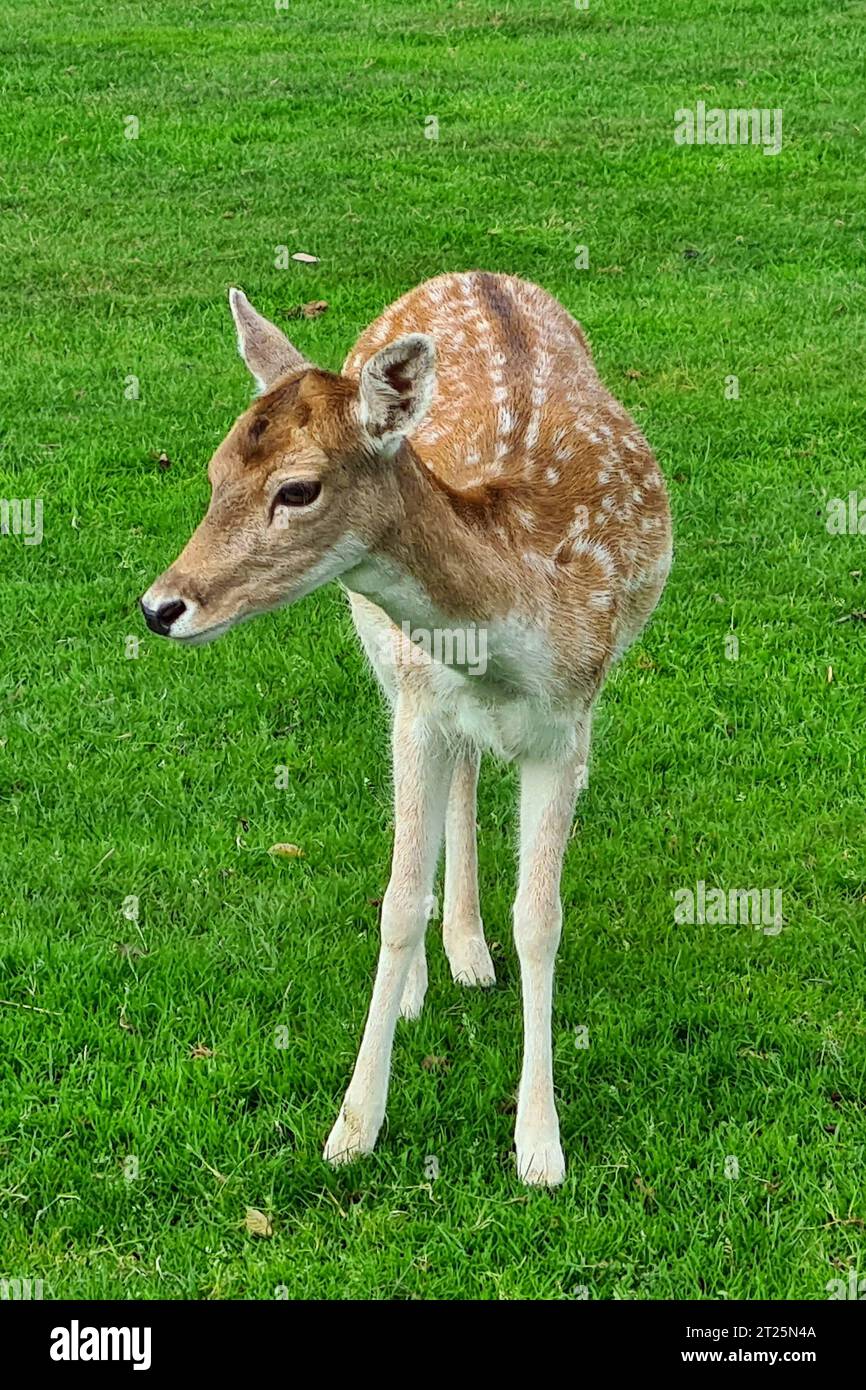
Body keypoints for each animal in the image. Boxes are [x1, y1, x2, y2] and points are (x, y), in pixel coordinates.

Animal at [140, 271, 672, 1186]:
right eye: (213, 472)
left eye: (298, 488)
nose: (160, 606)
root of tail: (473, 274)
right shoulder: (422, 707)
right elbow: (393, 899)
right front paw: (353, 1128)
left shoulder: (570, 724)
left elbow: (541, 917)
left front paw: (540, 1146)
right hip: (387, 659)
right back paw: (440, 964)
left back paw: (471, 950)